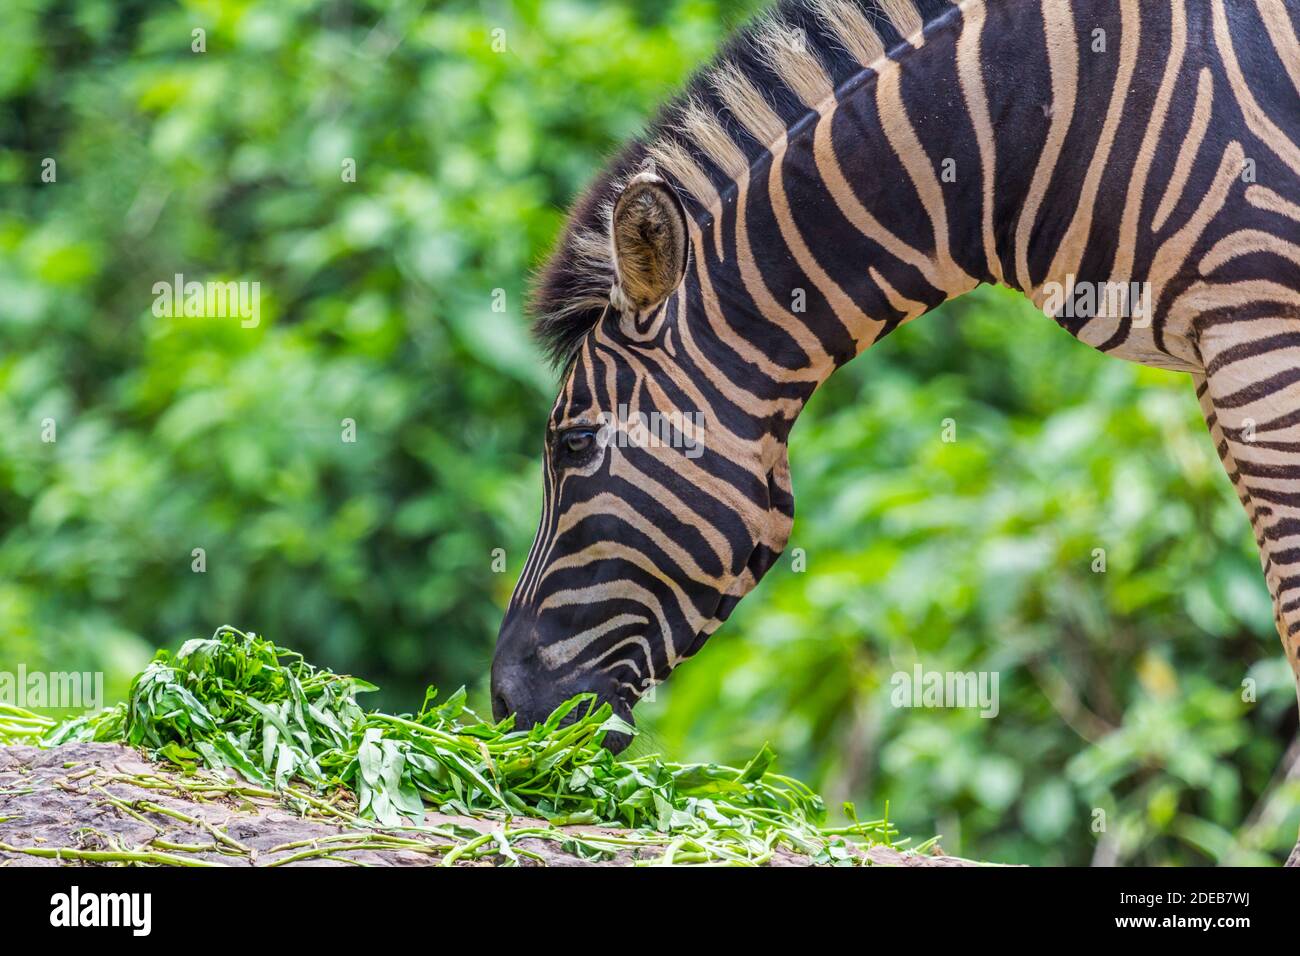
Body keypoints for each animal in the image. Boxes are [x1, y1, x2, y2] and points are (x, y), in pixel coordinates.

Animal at [490, 0, 1300, 860]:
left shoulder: (1256, 326)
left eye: (574, 444)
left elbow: (1290, 600)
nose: (505, 708)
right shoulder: (1214, 355)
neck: (1035, 123)